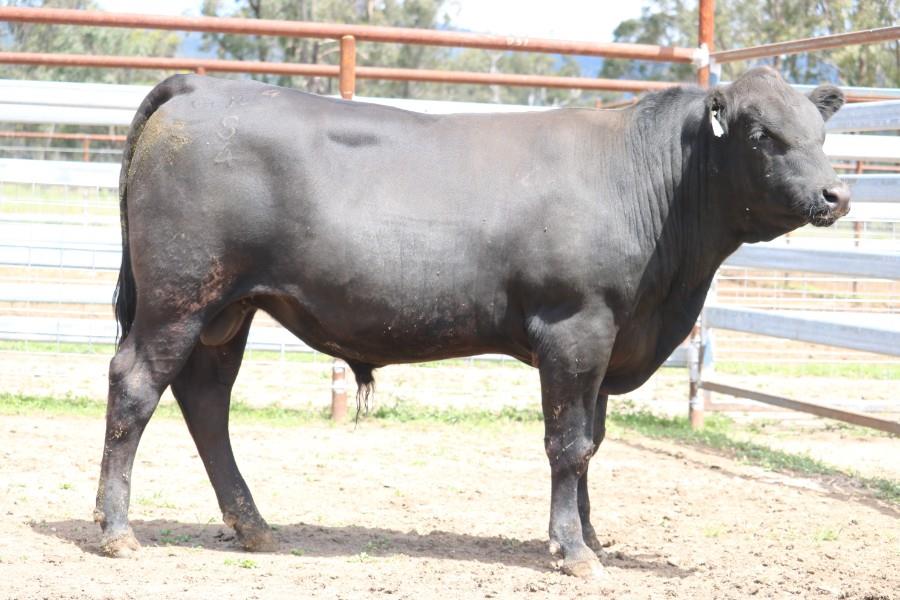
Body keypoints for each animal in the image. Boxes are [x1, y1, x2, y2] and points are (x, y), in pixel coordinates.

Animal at [94, 66, 849, 579]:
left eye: (819, 133)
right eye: (762, 134)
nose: (835, 194)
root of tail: (199, 87)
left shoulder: (610, 338)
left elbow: (592, 443)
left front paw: (591, 535)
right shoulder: (575, 327)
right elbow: (567, 444)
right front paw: (572, 550)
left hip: (228, 310)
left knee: (206, 401)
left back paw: (254, 526)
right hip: (179, 298)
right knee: (135, 387)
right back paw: (115, 529)